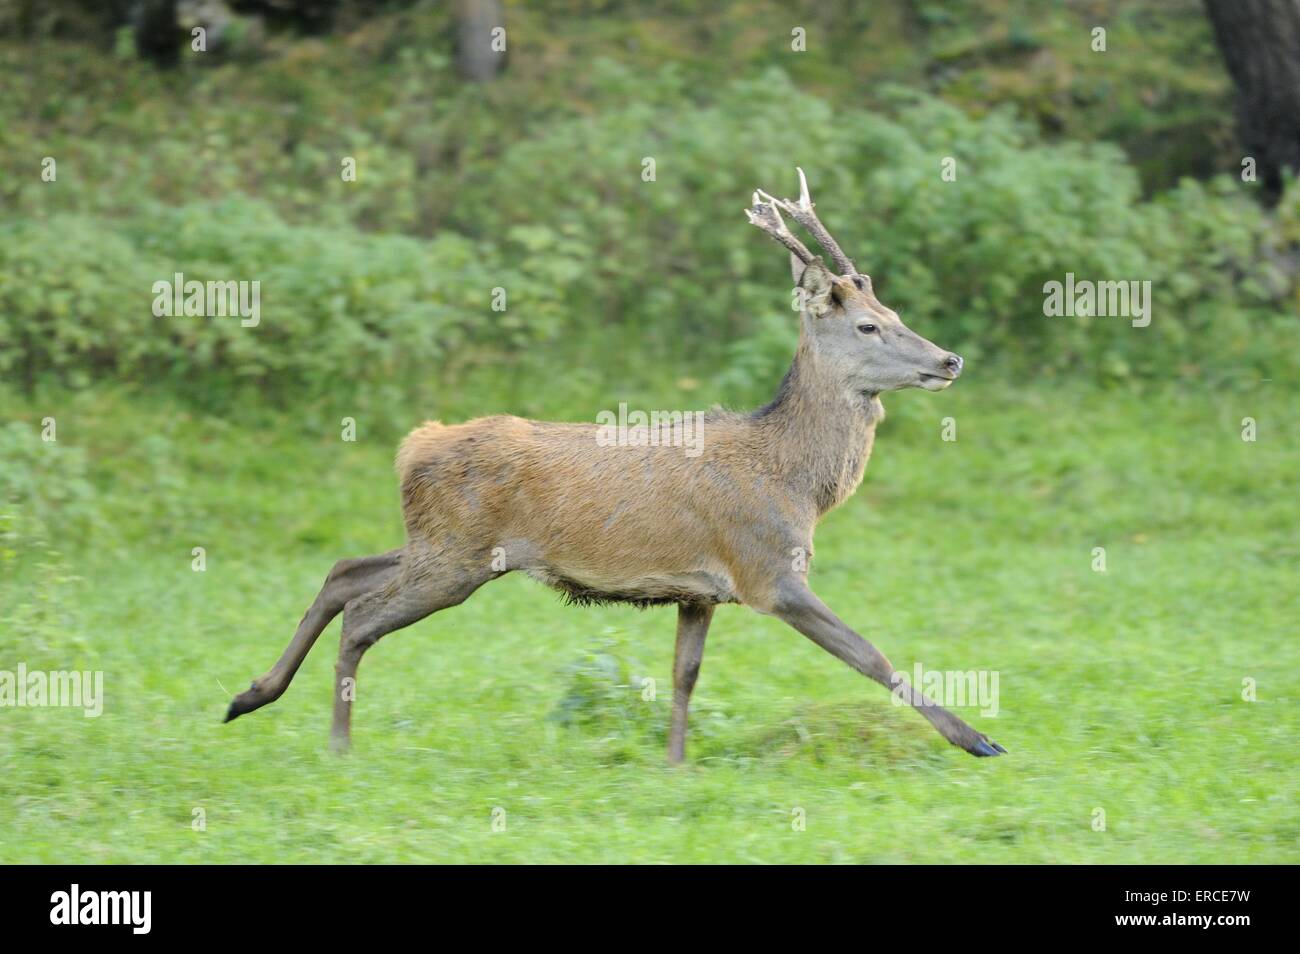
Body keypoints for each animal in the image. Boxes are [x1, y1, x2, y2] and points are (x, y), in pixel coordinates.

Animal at [224, 168, 1006, 762]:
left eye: (897, 312)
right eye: (869, 325)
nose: (949, 359)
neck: (797, 483)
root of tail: (415, 443)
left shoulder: (701, 590)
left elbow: (684, 674)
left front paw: (675, 763)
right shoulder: (767, 570)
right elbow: (870, 654)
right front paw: (976, 740)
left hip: (439, 544)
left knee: (343, 570)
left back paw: (249, 695)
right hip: (455, 556)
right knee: (362, 615)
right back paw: (337, 744)